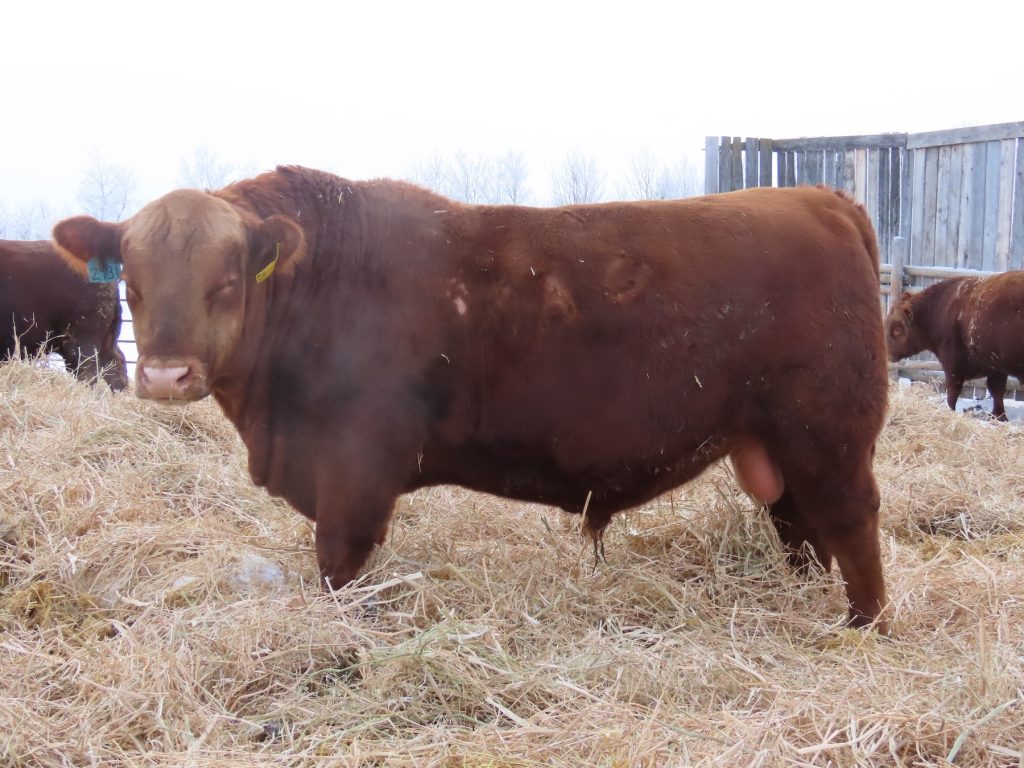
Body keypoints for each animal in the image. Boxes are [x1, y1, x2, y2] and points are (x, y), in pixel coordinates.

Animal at [53, 168, 890, 631]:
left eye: (225, 284)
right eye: (131, 283)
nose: (165, 375)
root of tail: (819, 198)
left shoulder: (355, 473)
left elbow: (339, 567)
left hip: (829, 433)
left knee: (850, 523)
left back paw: (864, 627)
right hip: (773, 445)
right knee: (800, 527)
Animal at [886, 272, 1024, 421]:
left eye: (897, 330)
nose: (887, 353)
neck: (936, 310)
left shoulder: (952, 362)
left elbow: (953, 391)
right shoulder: (996, 366)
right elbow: (996, 390)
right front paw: (999, 417)